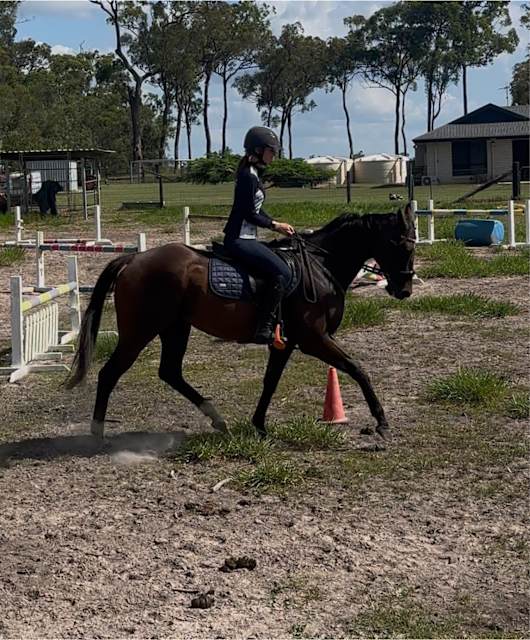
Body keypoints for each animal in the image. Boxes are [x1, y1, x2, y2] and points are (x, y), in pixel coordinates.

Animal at [67, 205, 416, 441]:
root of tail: (133, 259)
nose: (405, 290)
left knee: (170, 372)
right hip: (140, 331)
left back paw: (217, 419)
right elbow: (357, 369)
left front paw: (259, 424)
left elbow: (270, 382)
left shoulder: (286, 343)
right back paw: (97, 433)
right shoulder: (313, 339)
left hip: (175, 328)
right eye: (403, 244)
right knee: (110, 373)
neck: (320, 265)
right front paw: (382, 422)